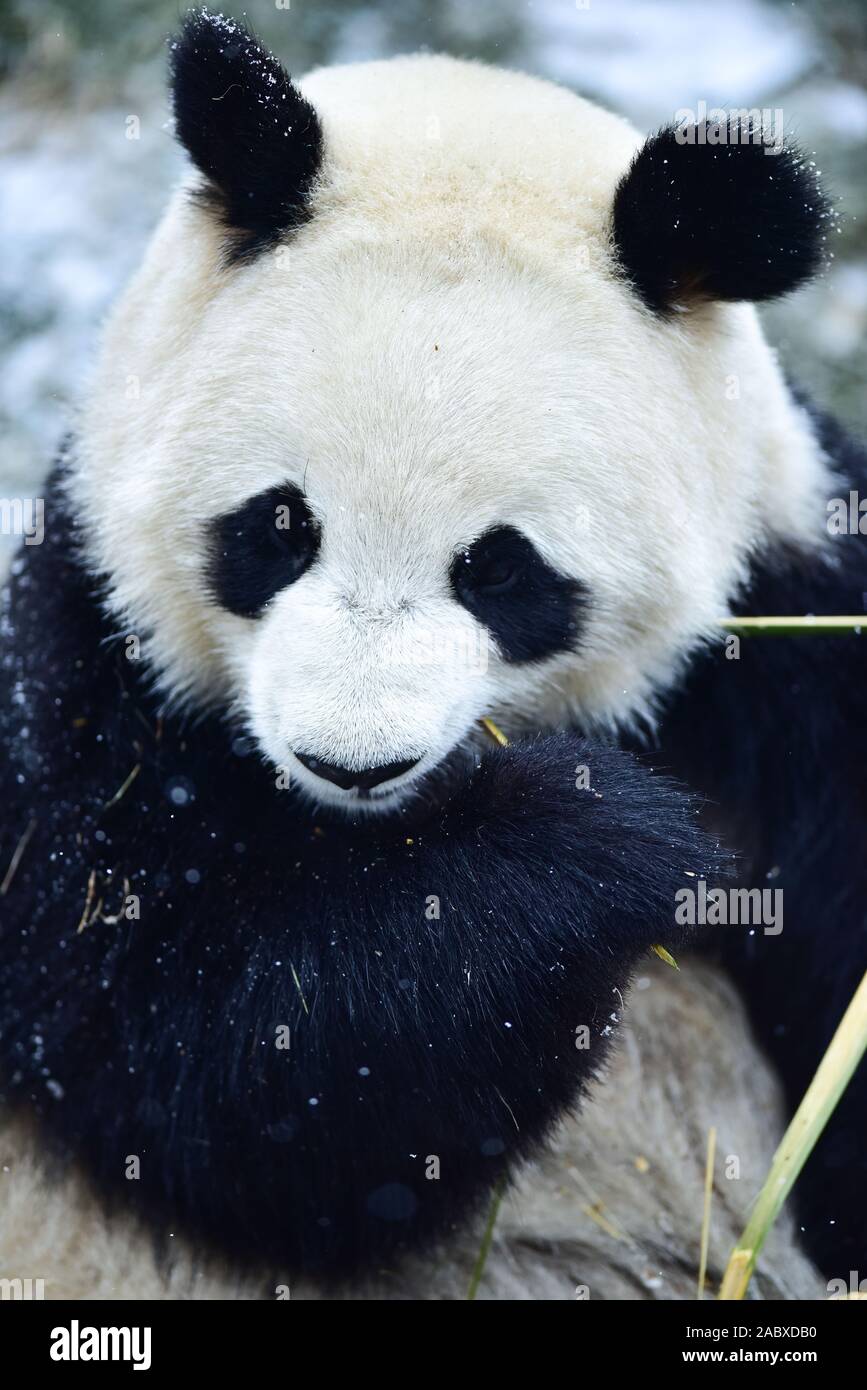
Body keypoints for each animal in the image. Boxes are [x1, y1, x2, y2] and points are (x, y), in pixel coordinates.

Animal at [0, 9, 864, 1302]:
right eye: (281, 525)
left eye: (498, 569)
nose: (351, 763)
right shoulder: (89, 664)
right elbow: (215, 1065)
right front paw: (603, 836)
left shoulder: (789, 632)